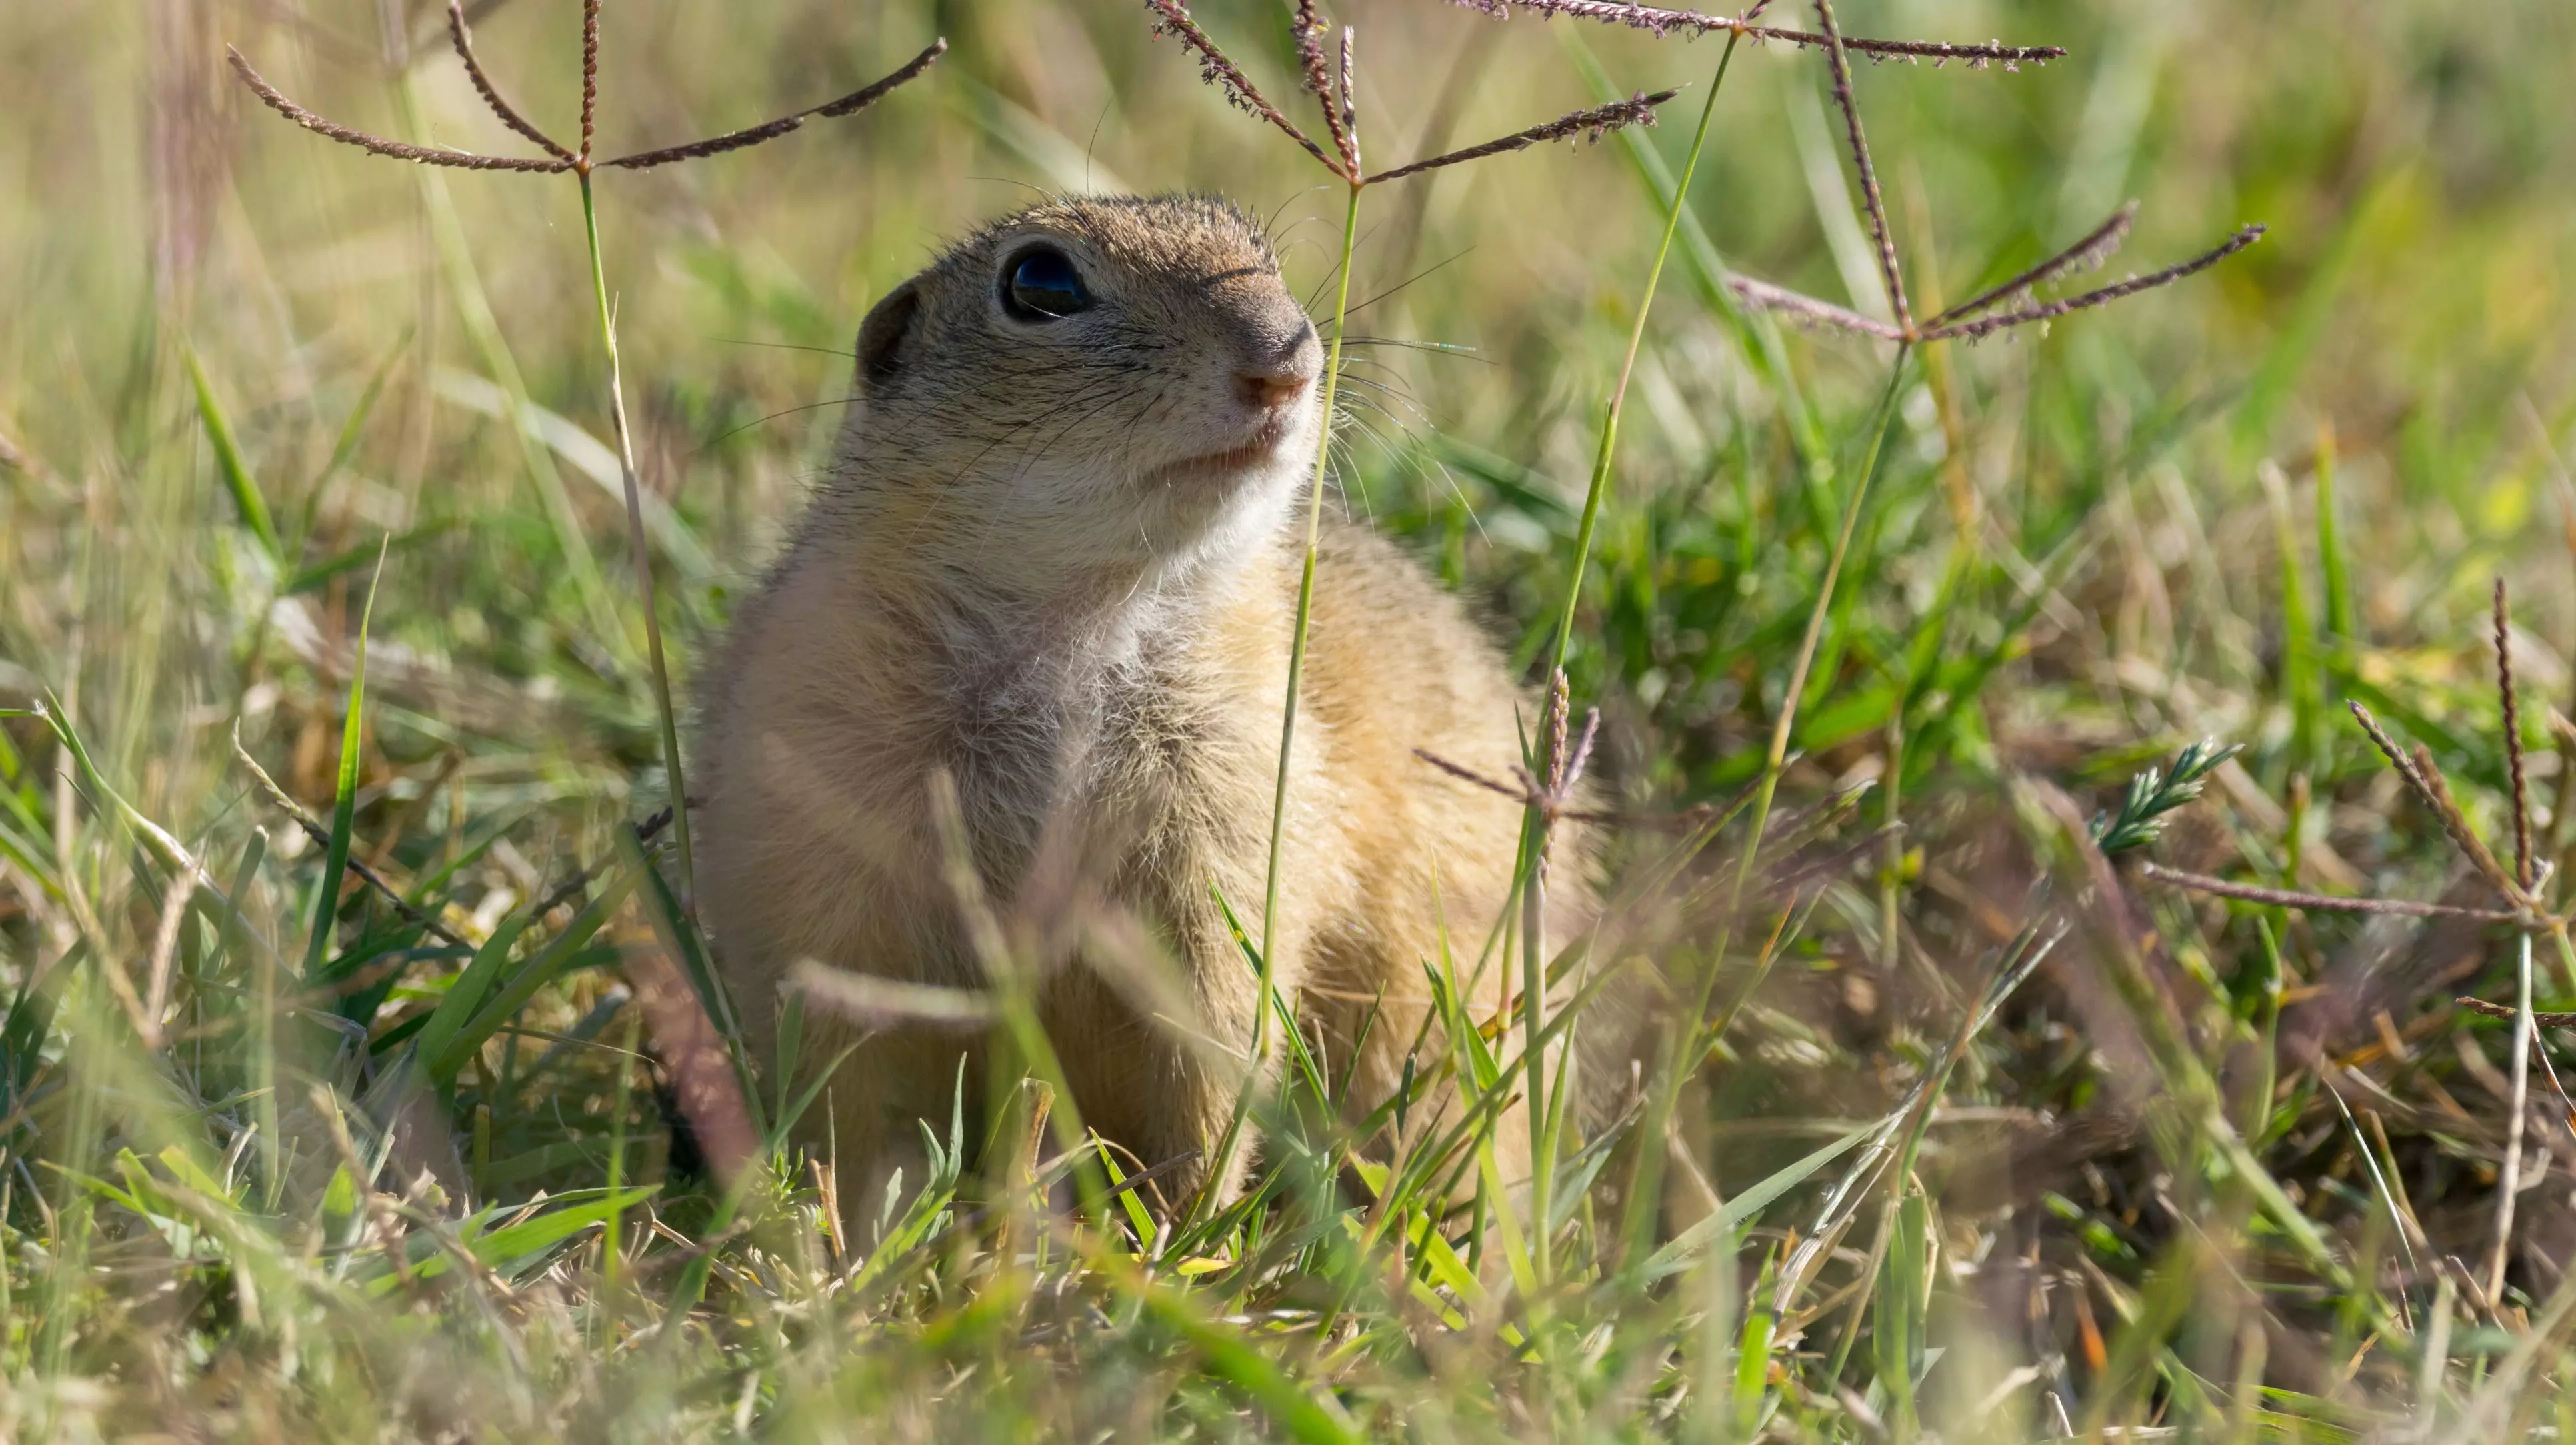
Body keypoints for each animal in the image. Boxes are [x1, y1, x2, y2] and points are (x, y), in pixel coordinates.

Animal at [701, 191, 1587, 1216]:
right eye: (1040, 282)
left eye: (1258, 248)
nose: (1286, 360)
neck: (1085, 625)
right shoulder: (821, 852)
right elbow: (846, 1093)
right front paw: (846, 1227)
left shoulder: (1233, 847)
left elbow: (1215, 1054)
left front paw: (1185, 1226)